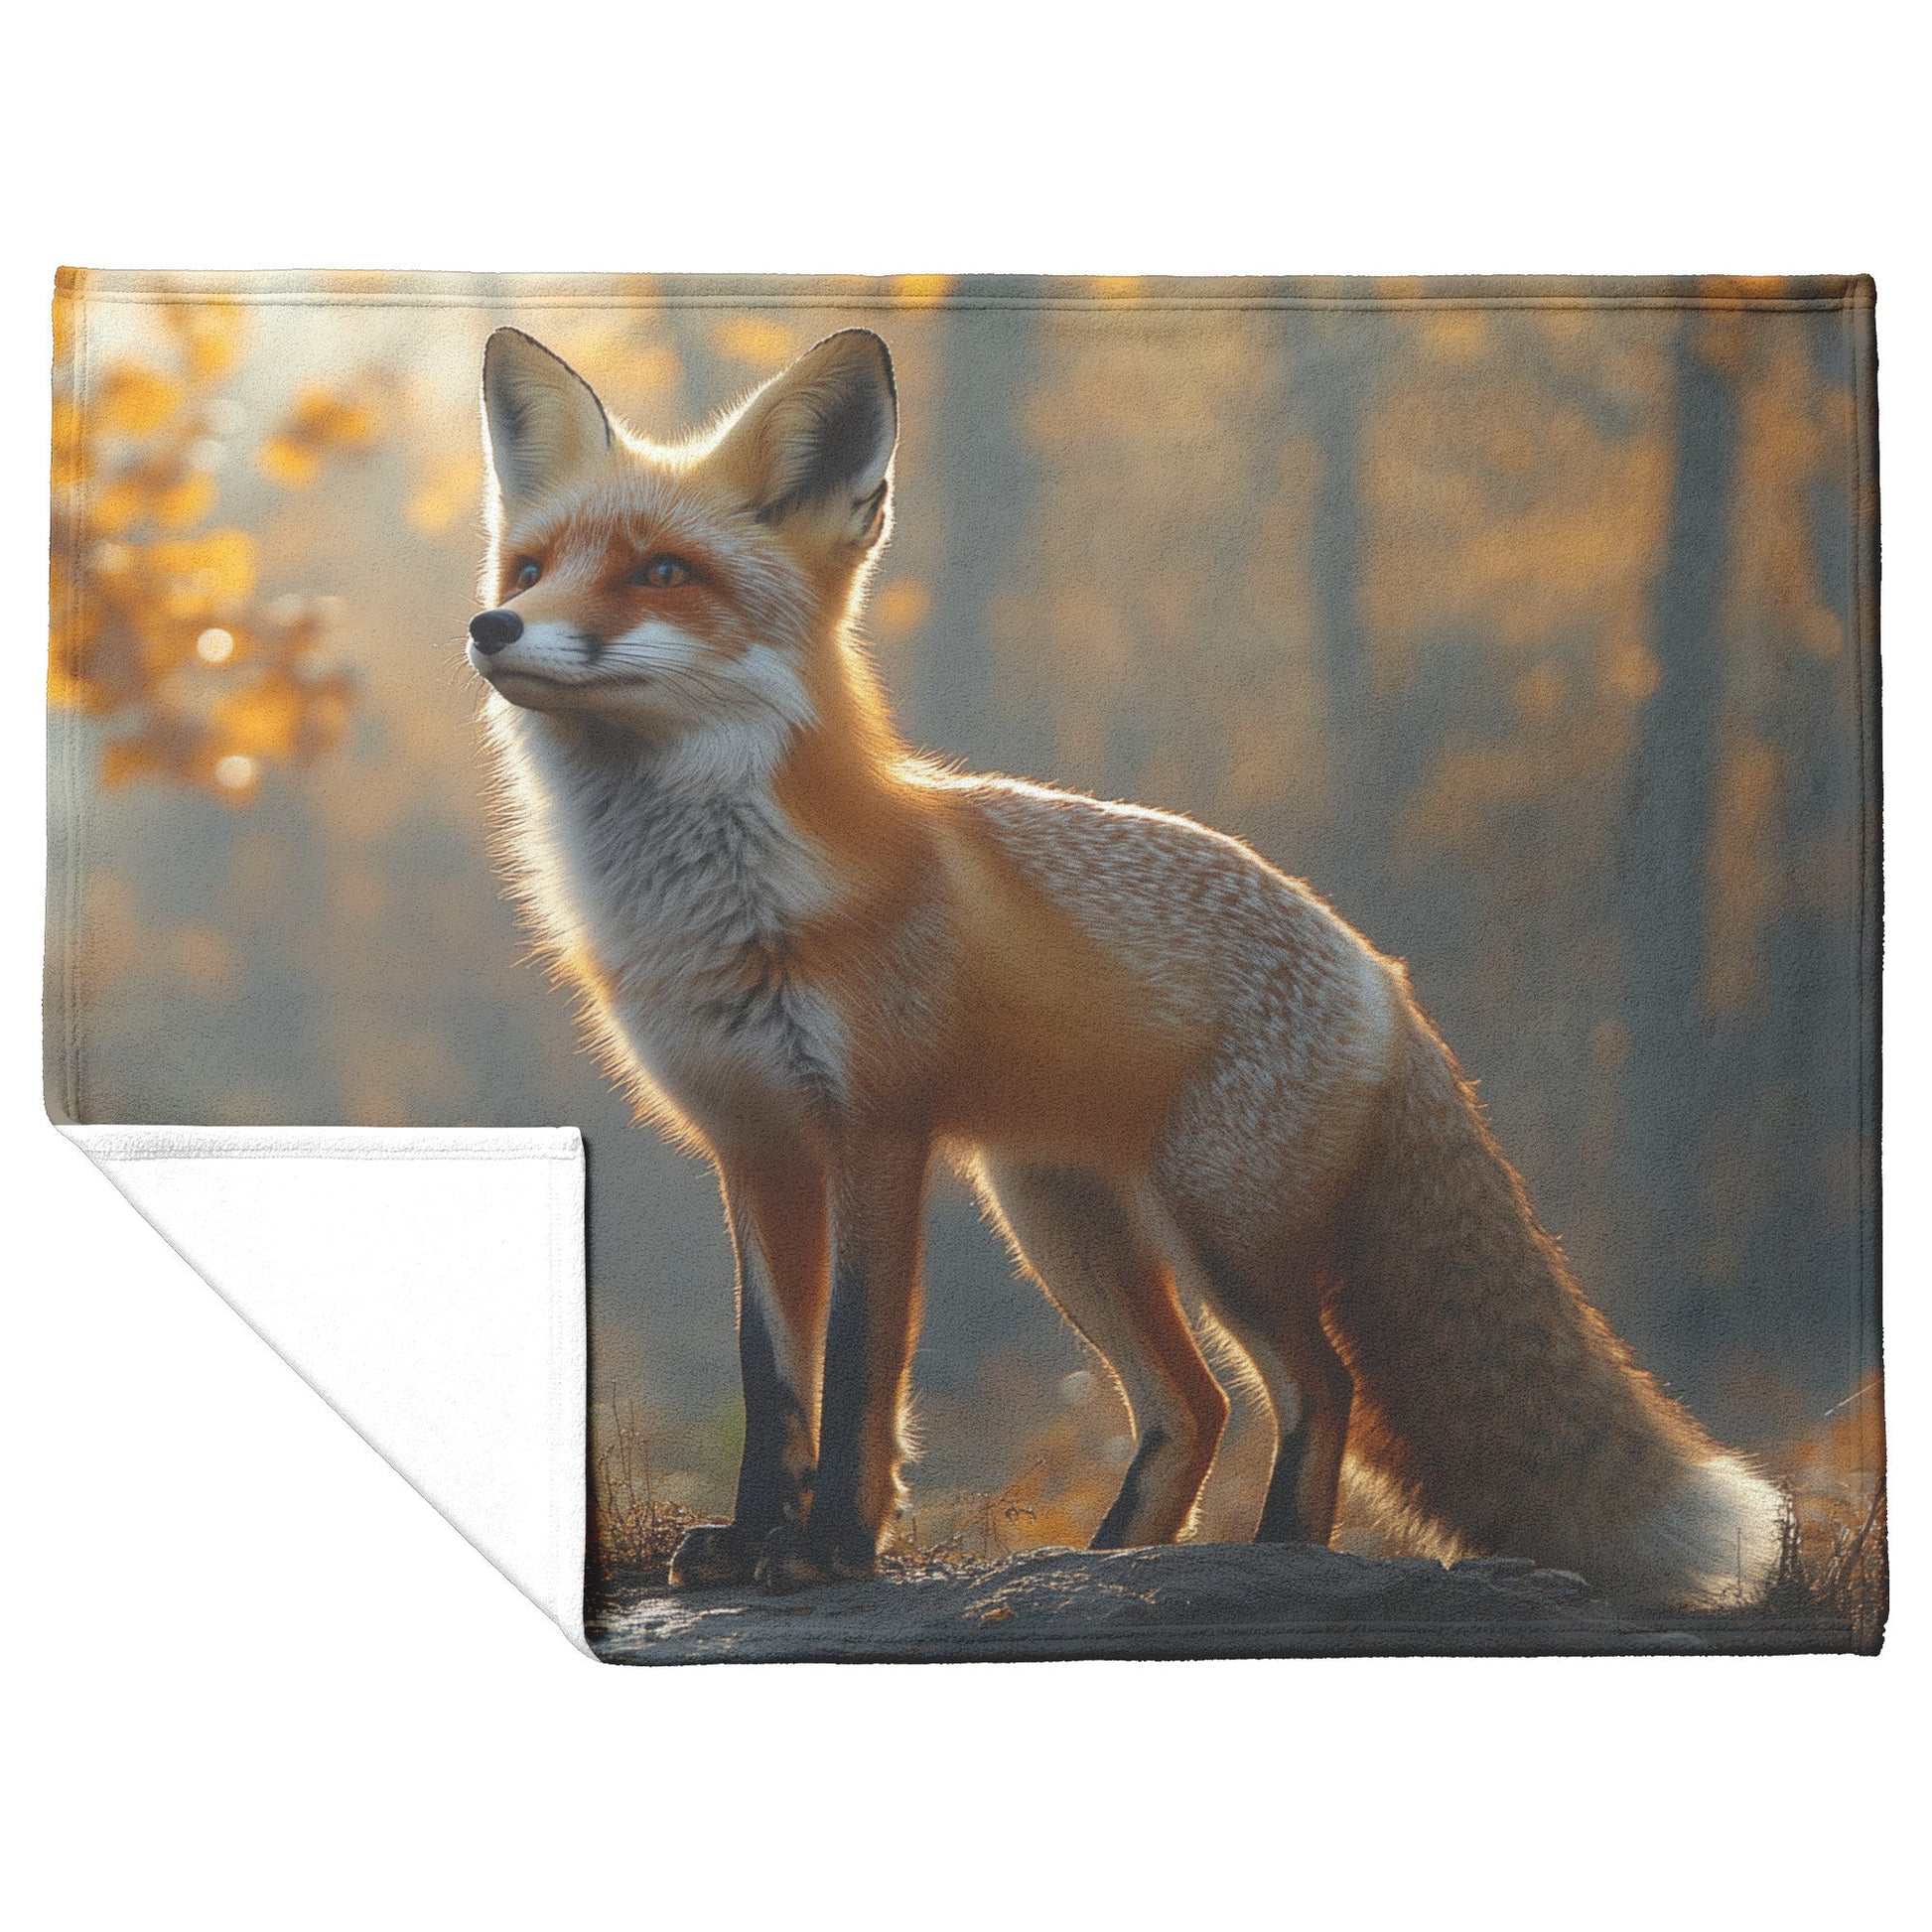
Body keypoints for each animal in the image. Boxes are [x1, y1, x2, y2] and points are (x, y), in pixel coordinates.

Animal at [465, 322, 1783, 1607]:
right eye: (528, 570)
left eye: (661, 572)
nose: (491, 626)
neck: (716, 902)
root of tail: (1377, 965)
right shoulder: (754, 1146)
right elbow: (771, 1375)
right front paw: (750, 1543)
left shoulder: (876, 1129)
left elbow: (859, 1362)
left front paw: (831, 1545)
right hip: (1062, 1222)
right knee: (1191, 1406)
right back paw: (1107, 1565)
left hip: (1217, 1225)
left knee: (1318, 1384)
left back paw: (1273, 1562)